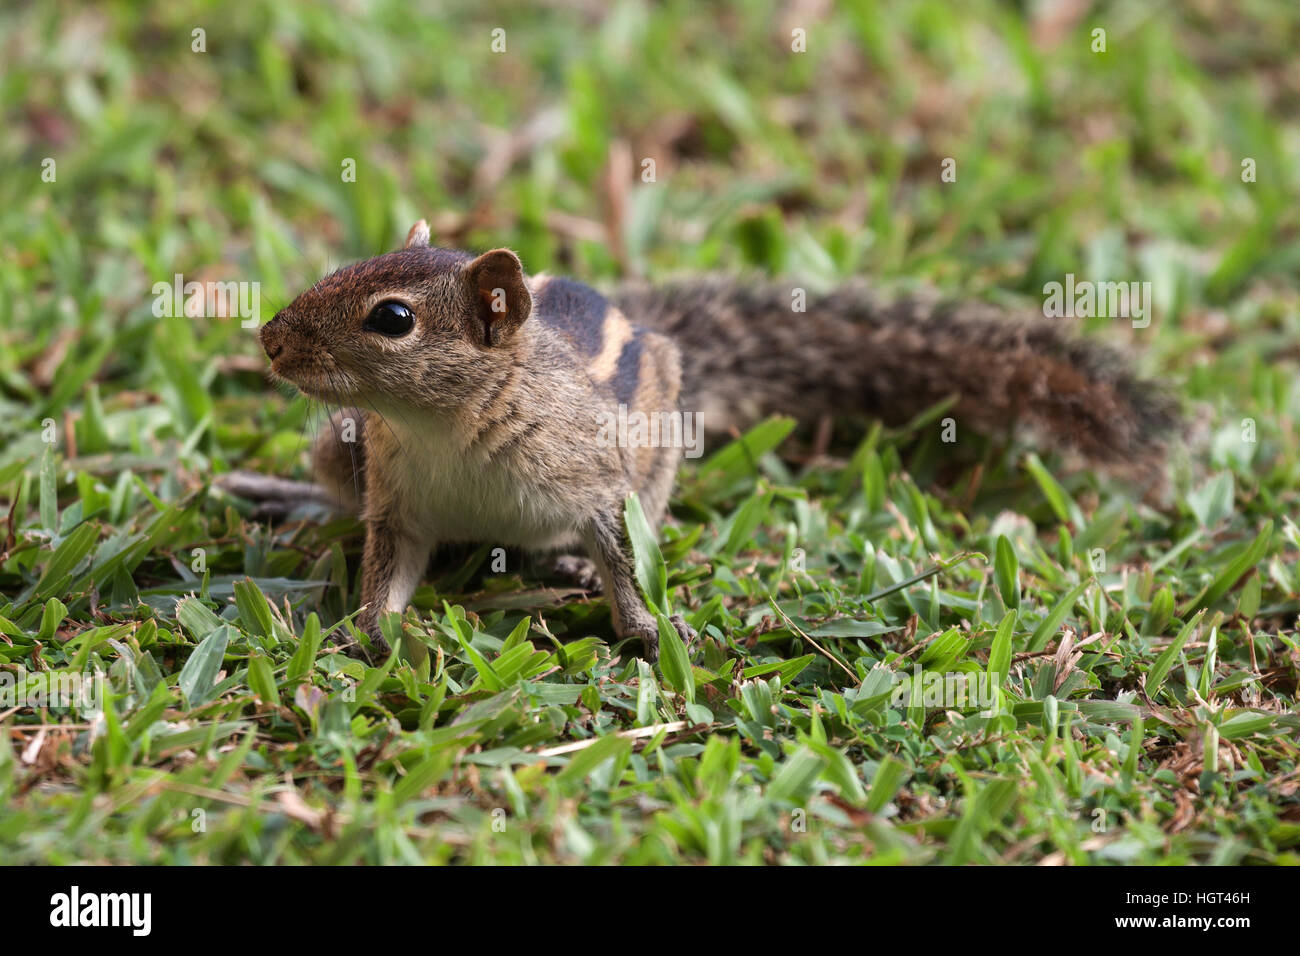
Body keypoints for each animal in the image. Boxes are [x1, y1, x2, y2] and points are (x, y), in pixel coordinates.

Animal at [239, 218, 1178, 660]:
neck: (443, 427)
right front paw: (366, 632)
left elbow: (623, 551)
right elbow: (385, 573)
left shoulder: (596, 480)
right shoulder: (397, 500)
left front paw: (646, 629)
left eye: (392, 319)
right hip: (342, 448)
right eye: (343, 267)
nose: (271, 340)